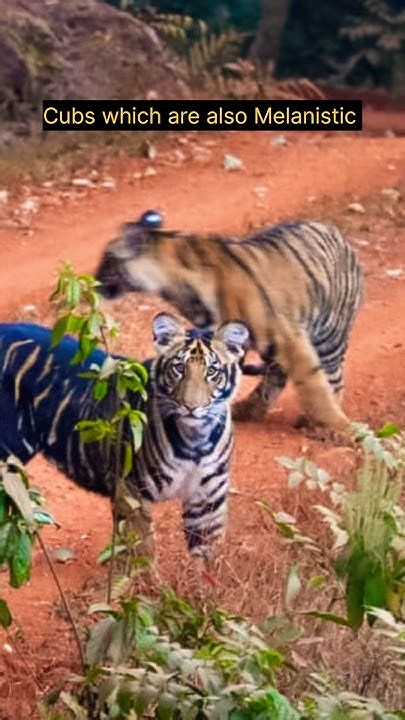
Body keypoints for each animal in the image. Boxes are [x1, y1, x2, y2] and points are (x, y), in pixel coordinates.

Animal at [0, 313, 248, 560]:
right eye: (179, 368)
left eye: (212, 371)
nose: (191, 406)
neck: (197, 439)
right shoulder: (131, 492)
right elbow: (141, 553)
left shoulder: (208, 501)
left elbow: (208, 560)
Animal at [95, 210, 364, 432]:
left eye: (107, 259)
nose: (93, 280)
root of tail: (341, 238)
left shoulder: (288, 338)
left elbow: (313, 385)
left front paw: (341, 428)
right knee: (275, 378)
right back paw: (248, 410)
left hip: (330, 337)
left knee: (332, 379)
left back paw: (322, 426)